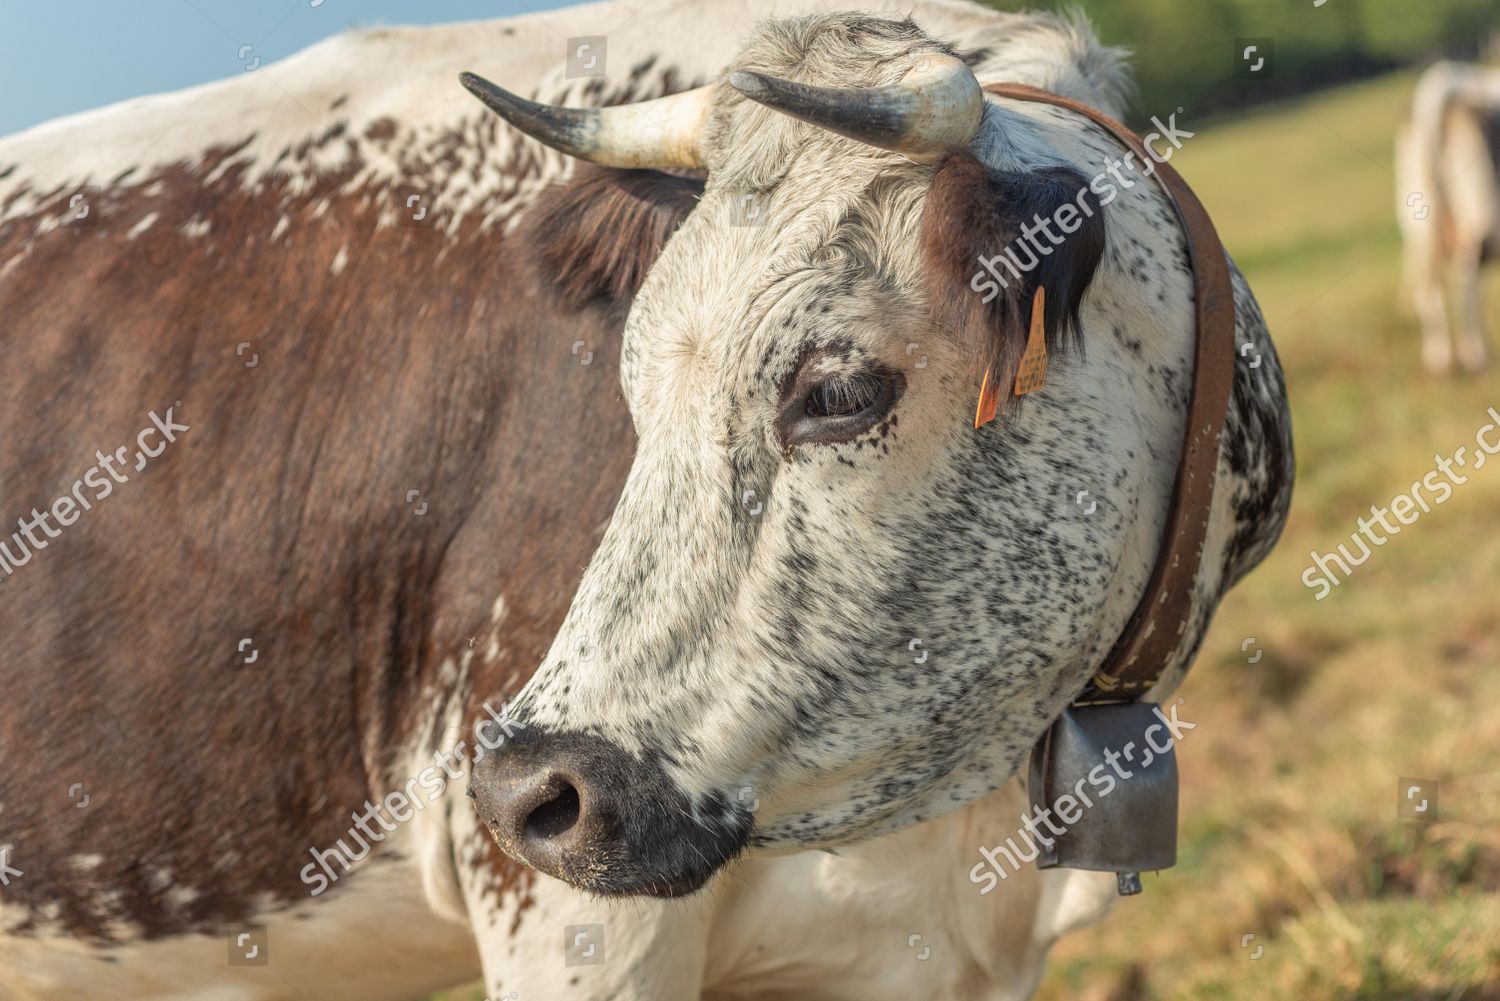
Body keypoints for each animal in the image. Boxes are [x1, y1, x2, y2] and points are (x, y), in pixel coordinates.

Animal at [1397, 60, 1500, 374]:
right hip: (1481, 220)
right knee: (1466, 283)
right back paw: (1476, 355)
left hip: (1419, 231)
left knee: (1429, 288)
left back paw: (1439, 359)